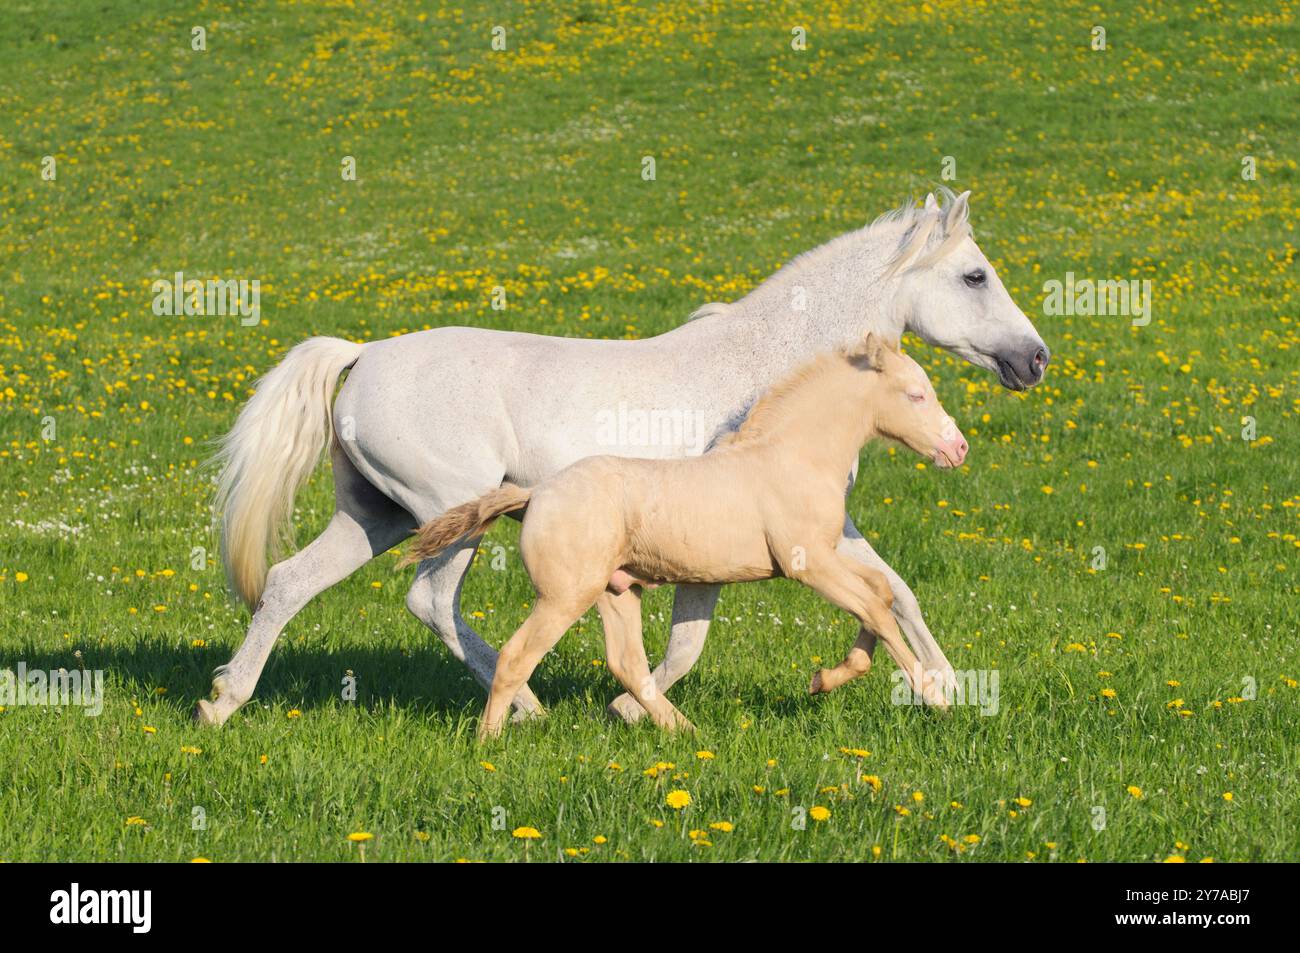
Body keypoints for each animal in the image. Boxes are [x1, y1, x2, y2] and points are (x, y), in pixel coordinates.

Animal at [196, 189, 1048, 727]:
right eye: (975, 275)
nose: (1035, 358)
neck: (769, 372)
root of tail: (364, 354)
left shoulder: (819, 527)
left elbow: (896, 590)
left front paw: (946, 687)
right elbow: (687, 643)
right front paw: (629, 708)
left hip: (374, 514)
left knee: (288, 582)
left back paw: (221, 702)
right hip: (450, 512)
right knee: (430, 601)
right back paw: (525, 706)